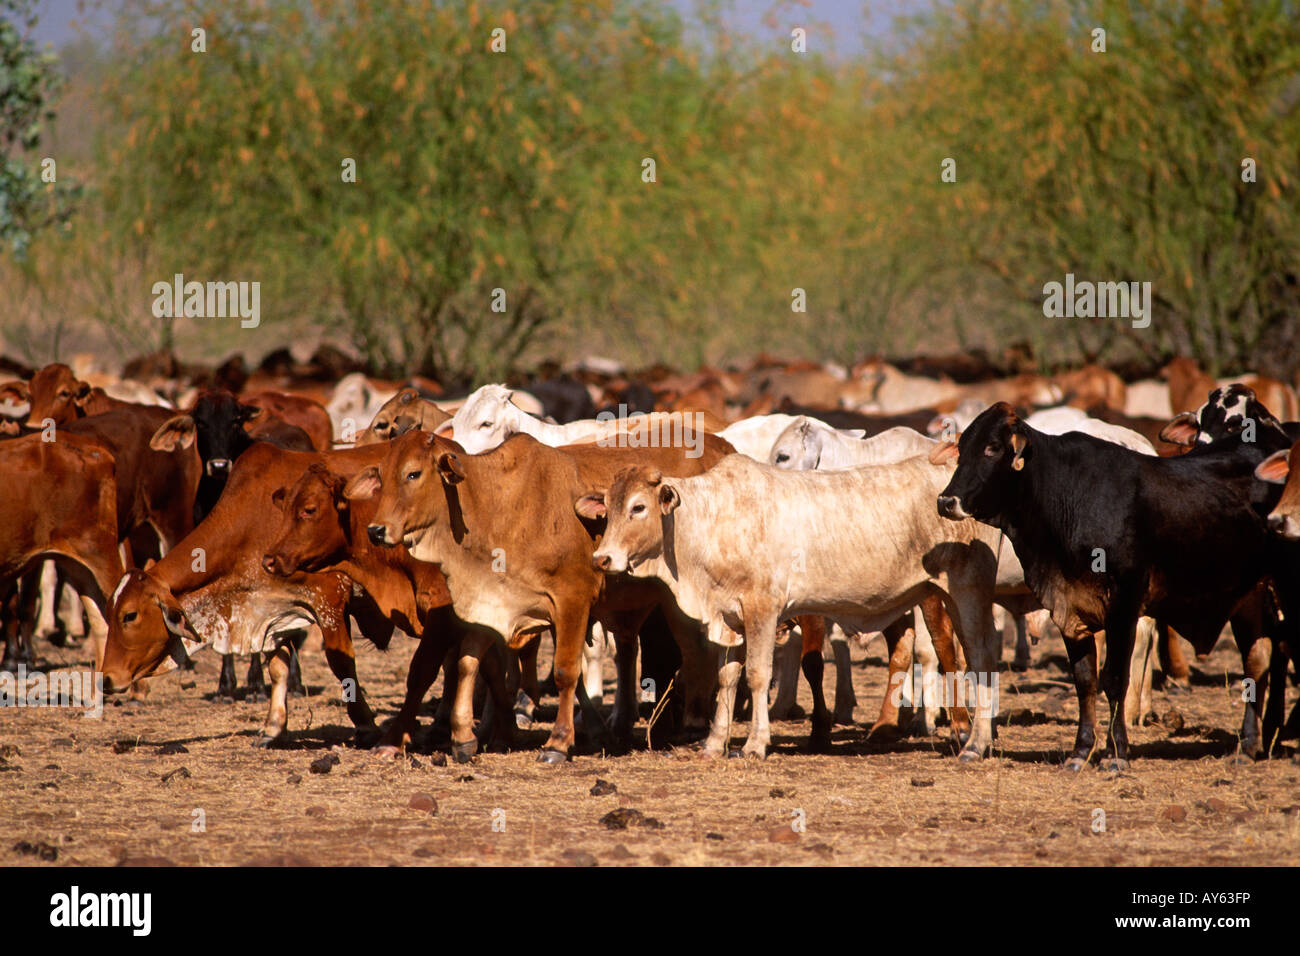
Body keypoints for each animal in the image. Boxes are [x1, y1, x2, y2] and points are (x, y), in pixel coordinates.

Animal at [937, 402, 1289, 769]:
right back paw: (1248, 745)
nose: (946, 501)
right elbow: (1085, 681)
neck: (1066, 497)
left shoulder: (1124, 606)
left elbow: (1115, 678)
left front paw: (1117, 752)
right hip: (1249, 596)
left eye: (992, 448)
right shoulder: (1068, 607)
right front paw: (1080, 751)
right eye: (962, 449)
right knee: (1257, 660)